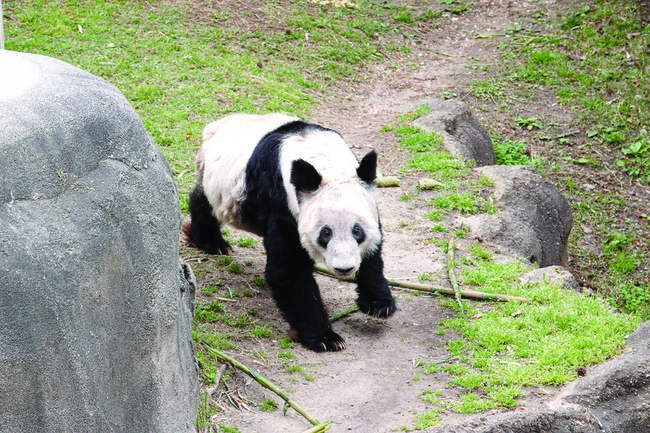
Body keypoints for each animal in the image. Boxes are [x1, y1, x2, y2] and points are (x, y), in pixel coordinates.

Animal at [185, 113, 396, 352]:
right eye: (326, 233)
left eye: (357, 231)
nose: (344, 268)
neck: (324, 160)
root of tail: (217, 125)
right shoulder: (282, 202)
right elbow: (289, 270)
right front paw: (325, 338)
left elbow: (374, 251)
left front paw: (378, 303)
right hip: (217, 180)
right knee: (204, 201)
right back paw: (213, 243)